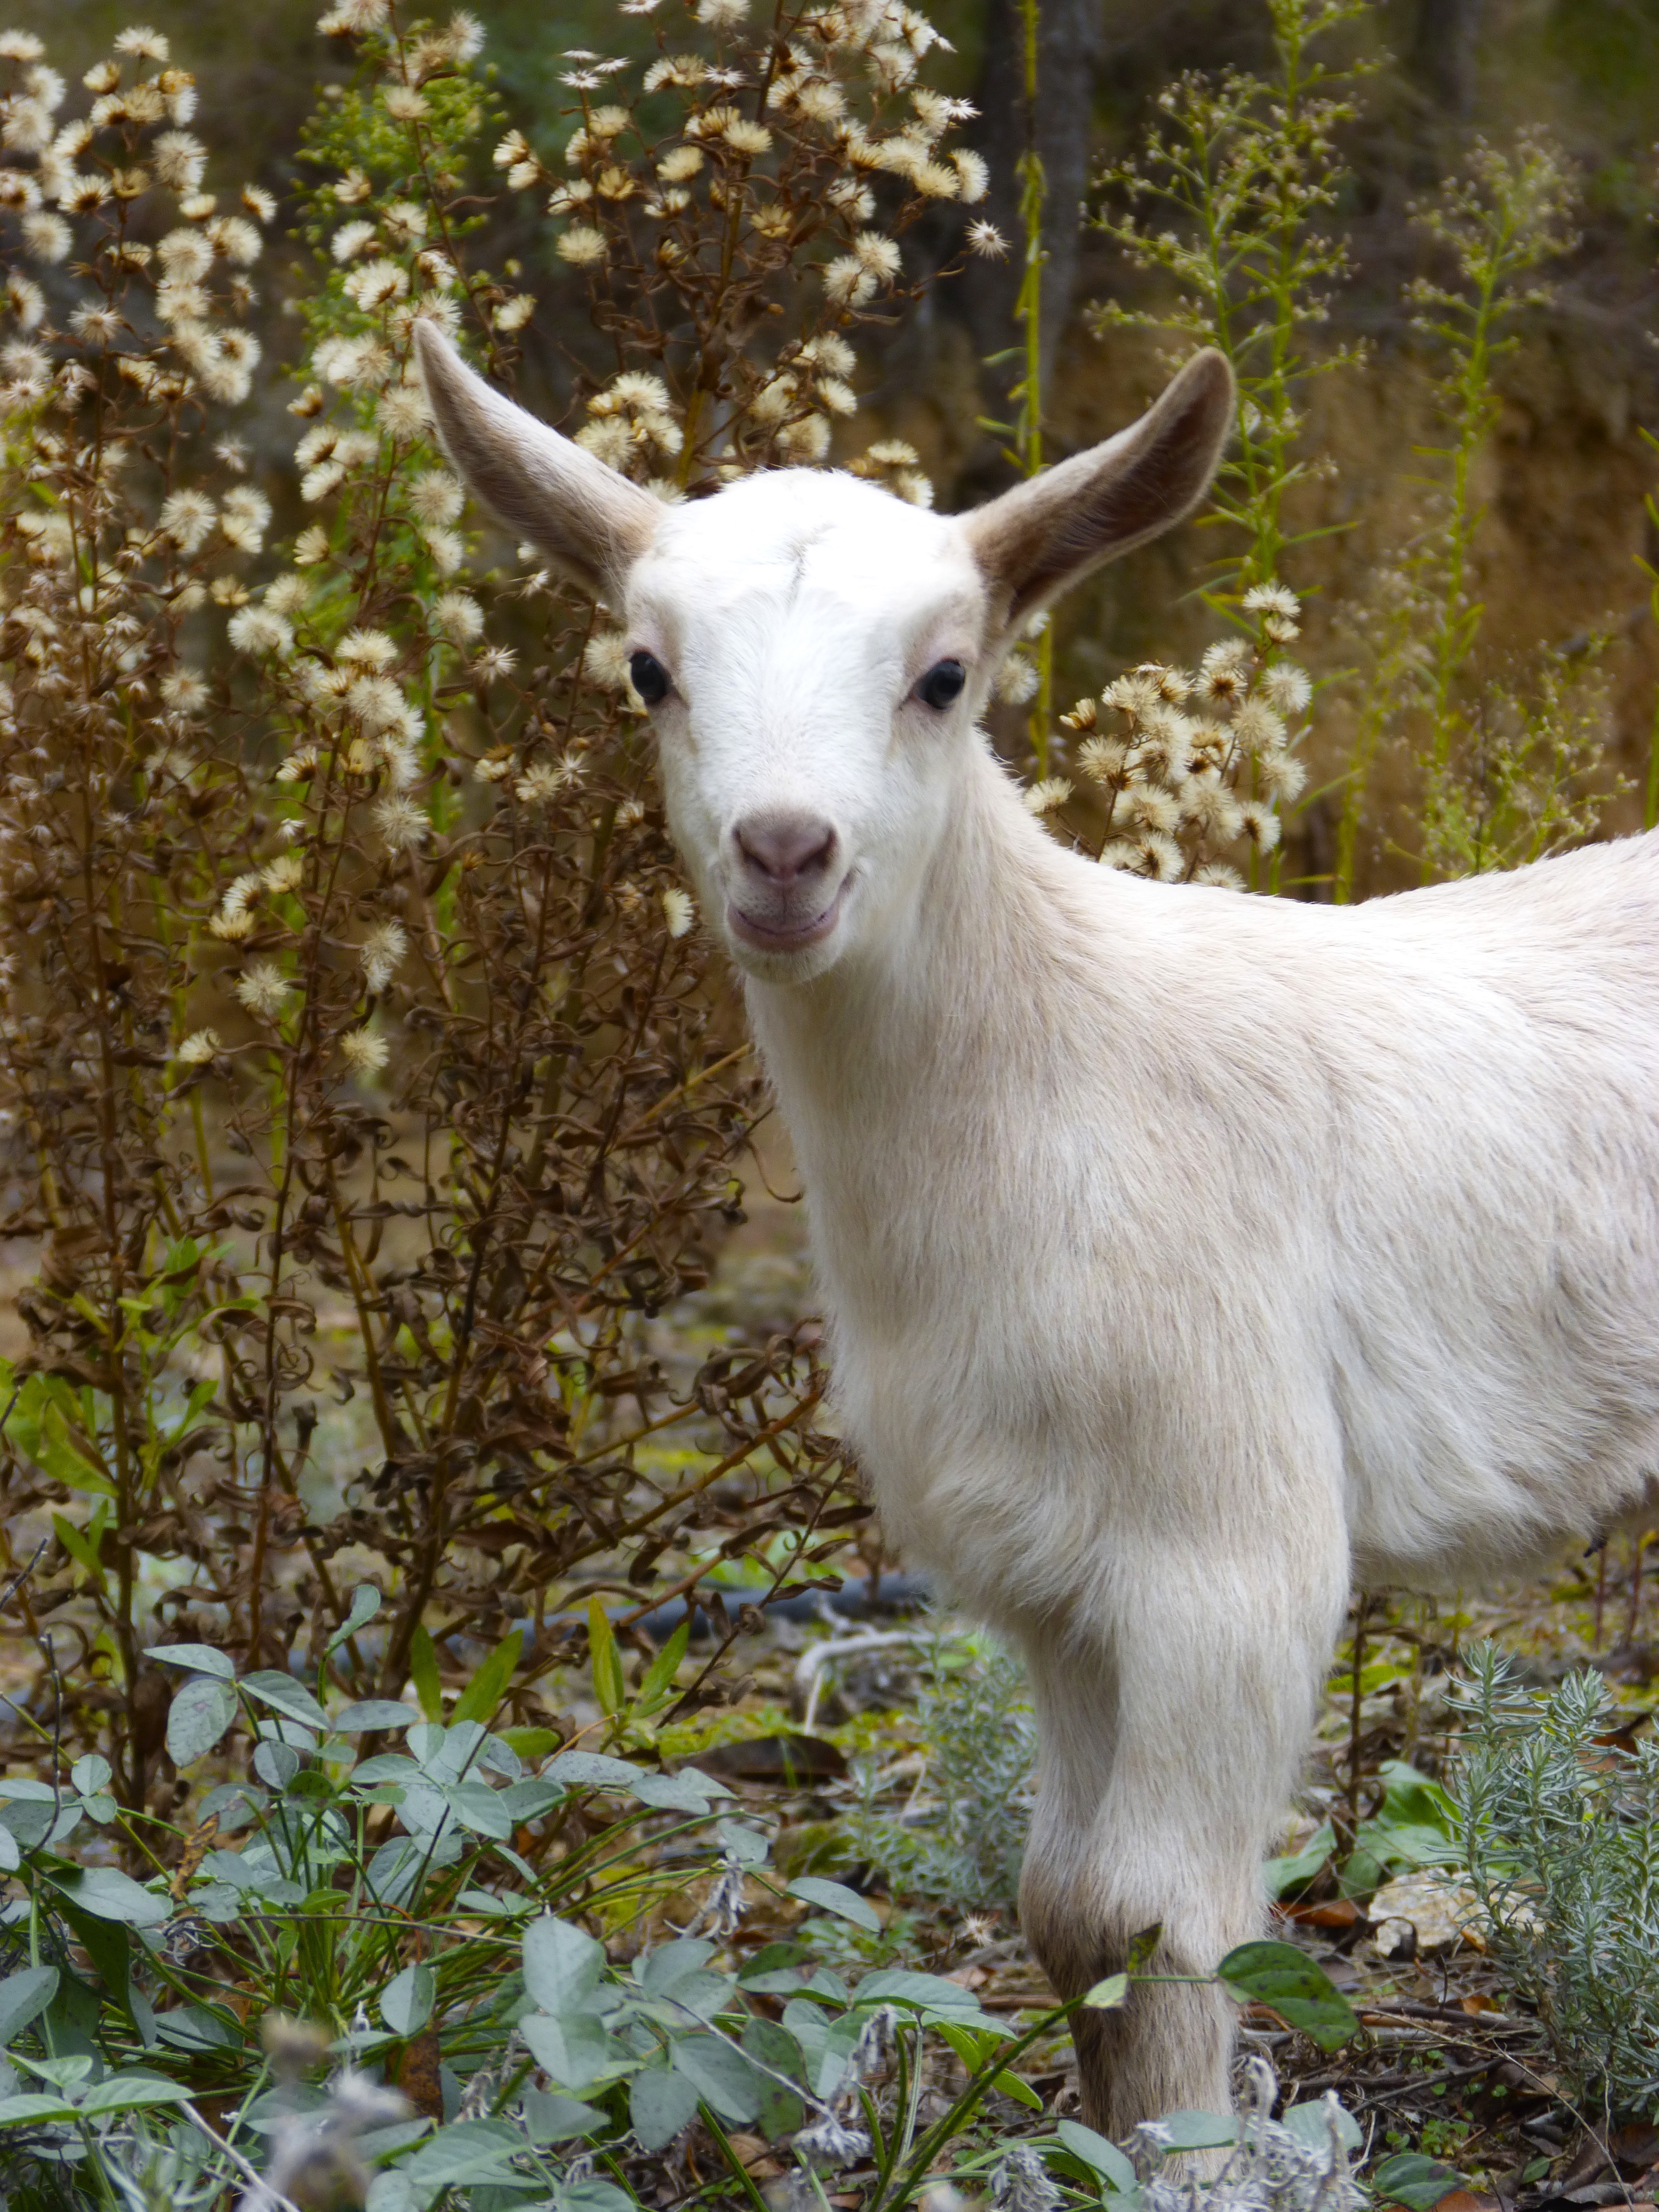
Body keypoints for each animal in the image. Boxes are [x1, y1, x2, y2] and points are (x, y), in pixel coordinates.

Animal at [417, 323, 1659, 2135]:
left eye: (944, 676)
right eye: (648, 669)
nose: (784, 854)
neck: (1063, 1067)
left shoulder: (1231, 1537)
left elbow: (1159, 1907)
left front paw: (1192, 2152)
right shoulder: (1055, 1576)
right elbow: (1066, 1905)